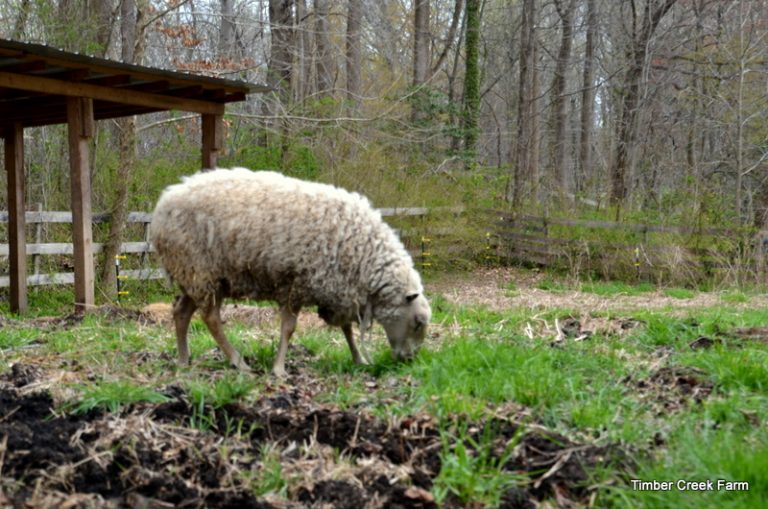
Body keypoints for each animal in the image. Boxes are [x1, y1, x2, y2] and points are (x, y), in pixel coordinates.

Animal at [150, 167, 431, 376]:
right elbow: (289, 329)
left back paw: (183, 360)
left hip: (195, 276)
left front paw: (358, 358)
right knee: (211, 319)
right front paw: (279, 369)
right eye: (418, 323)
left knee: (181, 312)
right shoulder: (297, 285)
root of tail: (162, 207)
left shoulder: (338, 292)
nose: (409, 360)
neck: (365, 257)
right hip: (201, 271)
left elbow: (347, 328)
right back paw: (239, 362)